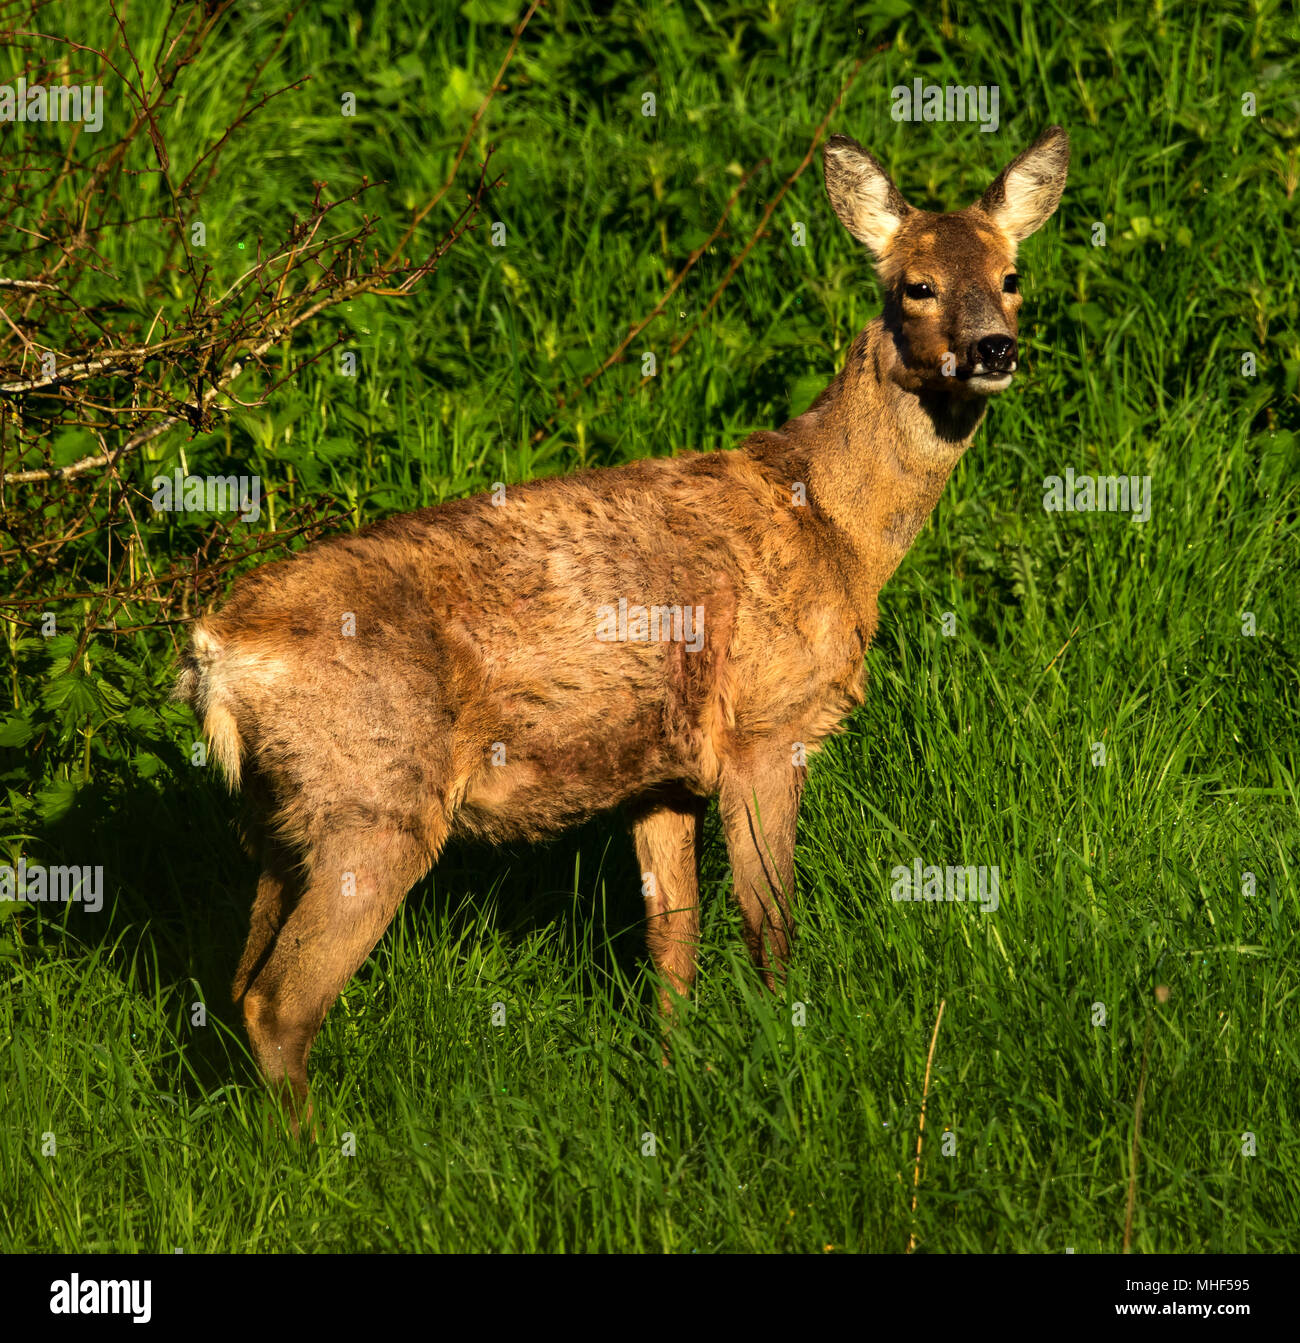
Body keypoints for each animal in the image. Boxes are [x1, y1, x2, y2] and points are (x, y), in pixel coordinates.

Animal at [176, 124, 1068, 1134]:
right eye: (915, 283)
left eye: (1011, 275)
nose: (995, 345)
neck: (836, 525)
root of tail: (216, 653)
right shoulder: (769, 726)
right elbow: (770, 925)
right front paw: (787, 1052)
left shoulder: (661, 773)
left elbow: (673, 943)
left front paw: (679, 1073)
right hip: (373, 804)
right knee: (279, 1000)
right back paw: (318, 1150)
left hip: (282, 817)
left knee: (238, 979)